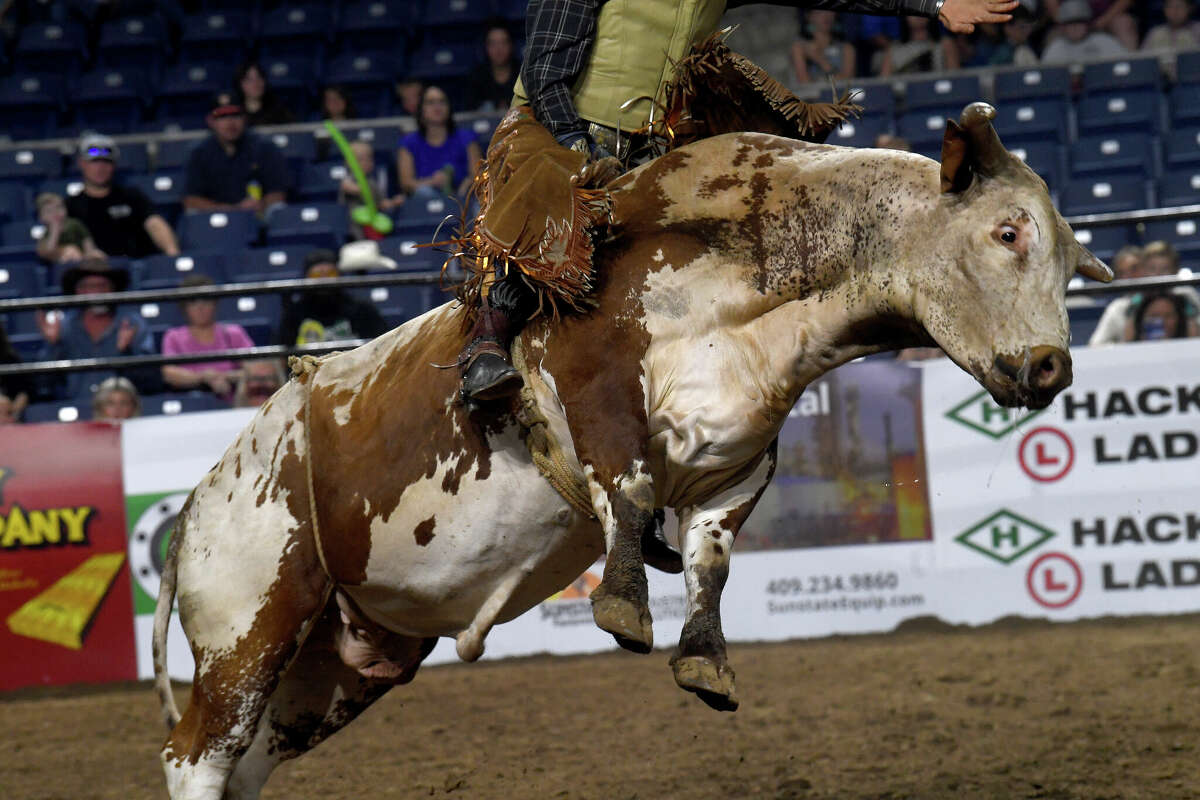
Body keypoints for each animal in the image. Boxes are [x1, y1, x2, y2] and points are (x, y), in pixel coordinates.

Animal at [154, 103, 1110, 799]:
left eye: (1071, 260)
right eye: (1008, 232)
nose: (1051, 366)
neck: (745, 274)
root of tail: (198, 501)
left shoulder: (742, 459)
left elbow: (711, 555)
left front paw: (705, 659)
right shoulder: (594, 385)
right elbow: (630, 484)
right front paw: (620, 604)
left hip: (334, 664)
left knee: (245, 763)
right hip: (250, 624)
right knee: (195, 754)